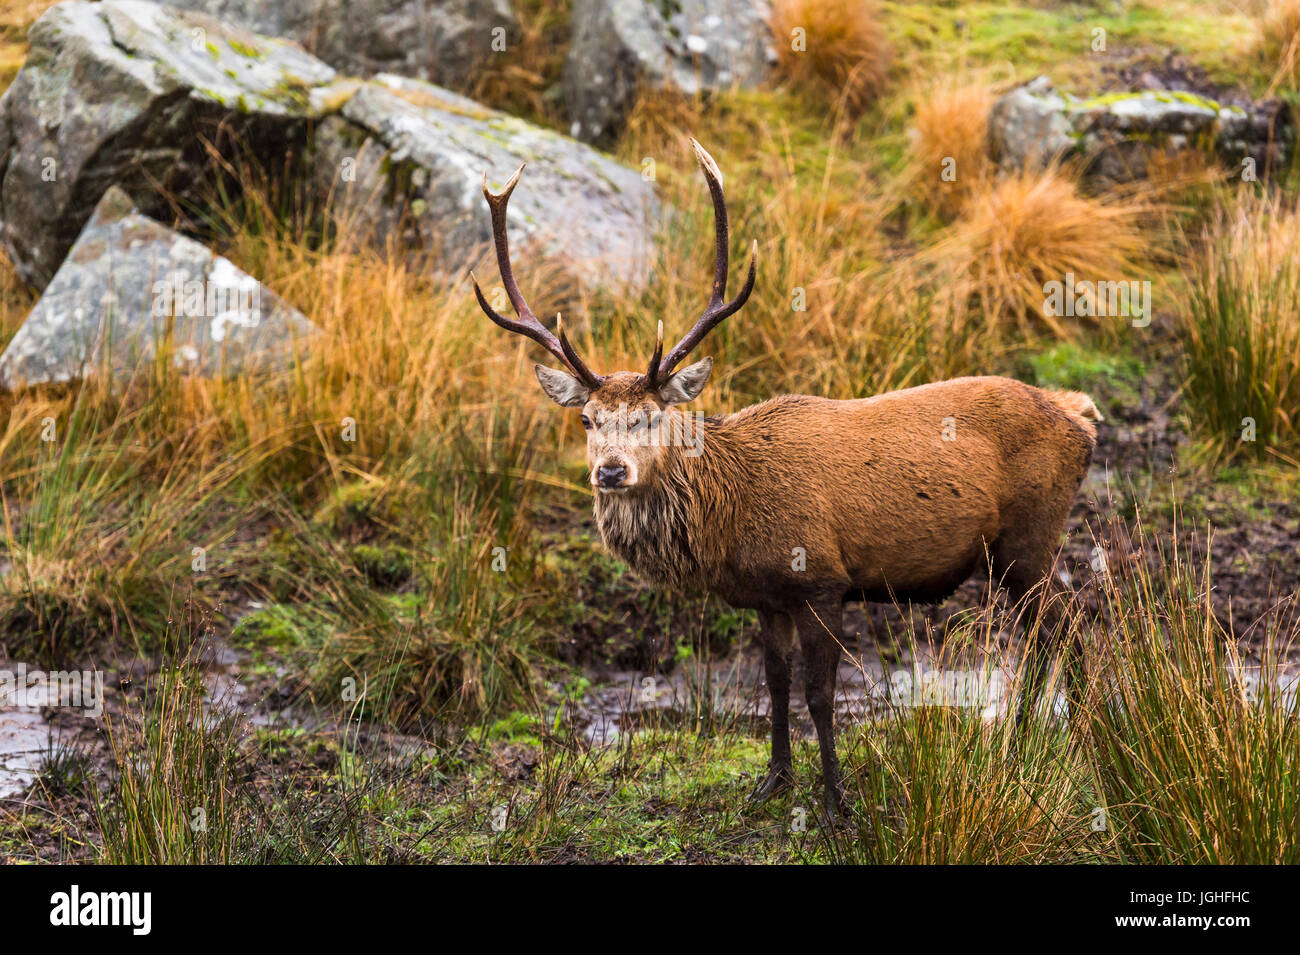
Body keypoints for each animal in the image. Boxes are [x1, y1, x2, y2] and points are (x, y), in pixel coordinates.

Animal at [471, 140, 1101, 815]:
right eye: (587, 418)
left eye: (651, 416)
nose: (610, 471)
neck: (731, 513)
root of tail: (1079, 415)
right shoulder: (764, 596)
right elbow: (773, 686)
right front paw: (772, 781)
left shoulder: (822, 580)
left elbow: (819, 695)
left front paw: (836, 803)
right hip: (1009, 554)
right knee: (1045, 631)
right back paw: (1024, 737)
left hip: (1032, 535)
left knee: (1068, 624)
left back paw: (1072, 736)